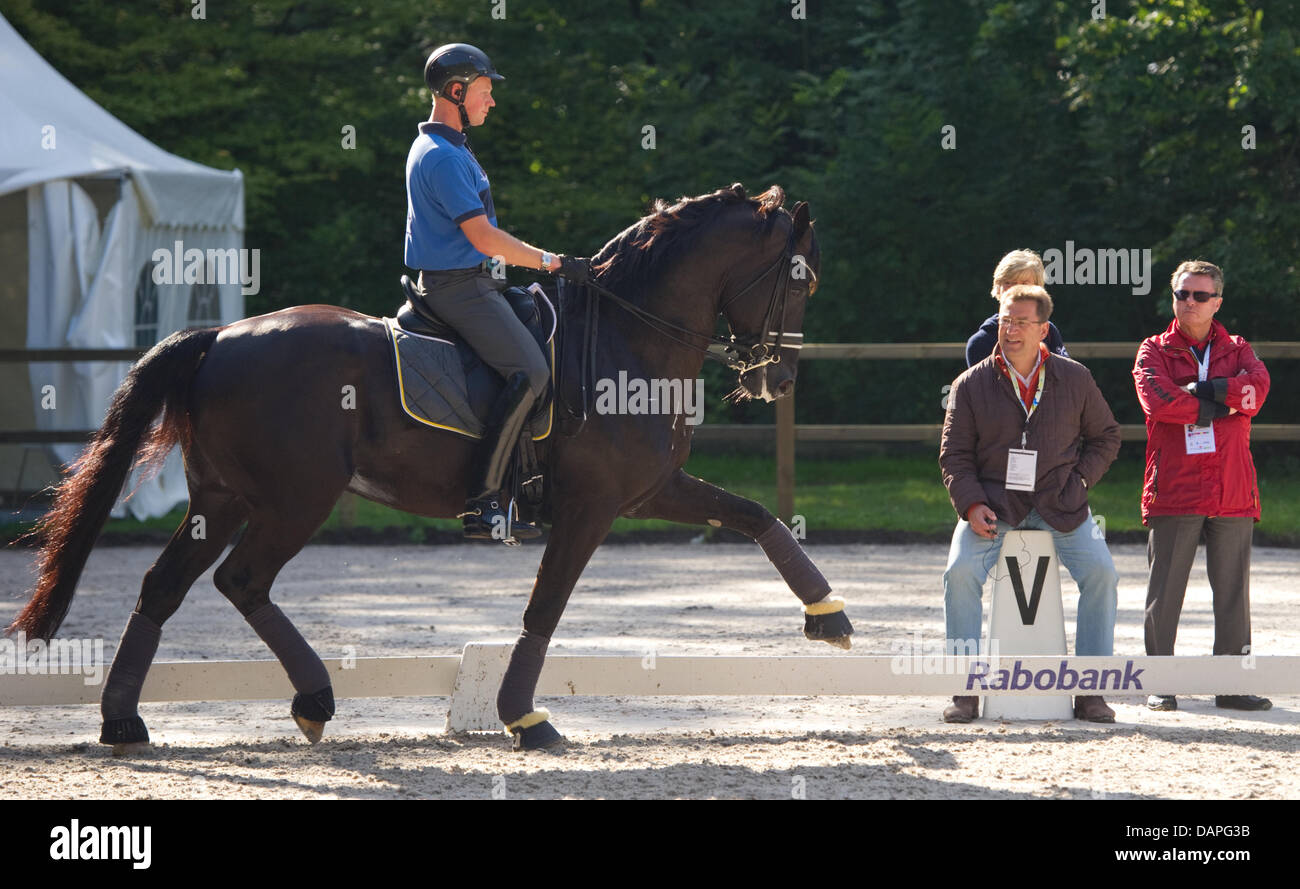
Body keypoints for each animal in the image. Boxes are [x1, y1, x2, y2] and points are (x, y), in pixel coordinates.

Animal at [8, 183, 853, 751]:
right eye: (802, 279)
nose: (779, 380)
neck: (628, 336)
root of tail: (219, 337)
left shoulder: (649, 491)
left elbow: (756, 515)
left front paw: (830, 615)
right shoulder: (593, 506)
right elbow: (545, 608)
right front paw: (525, 716)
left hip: (224, 497)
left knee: (165, 586)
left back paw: (125, 719)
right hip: (293, 499)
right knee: (240, 581)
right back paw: (313, 698)